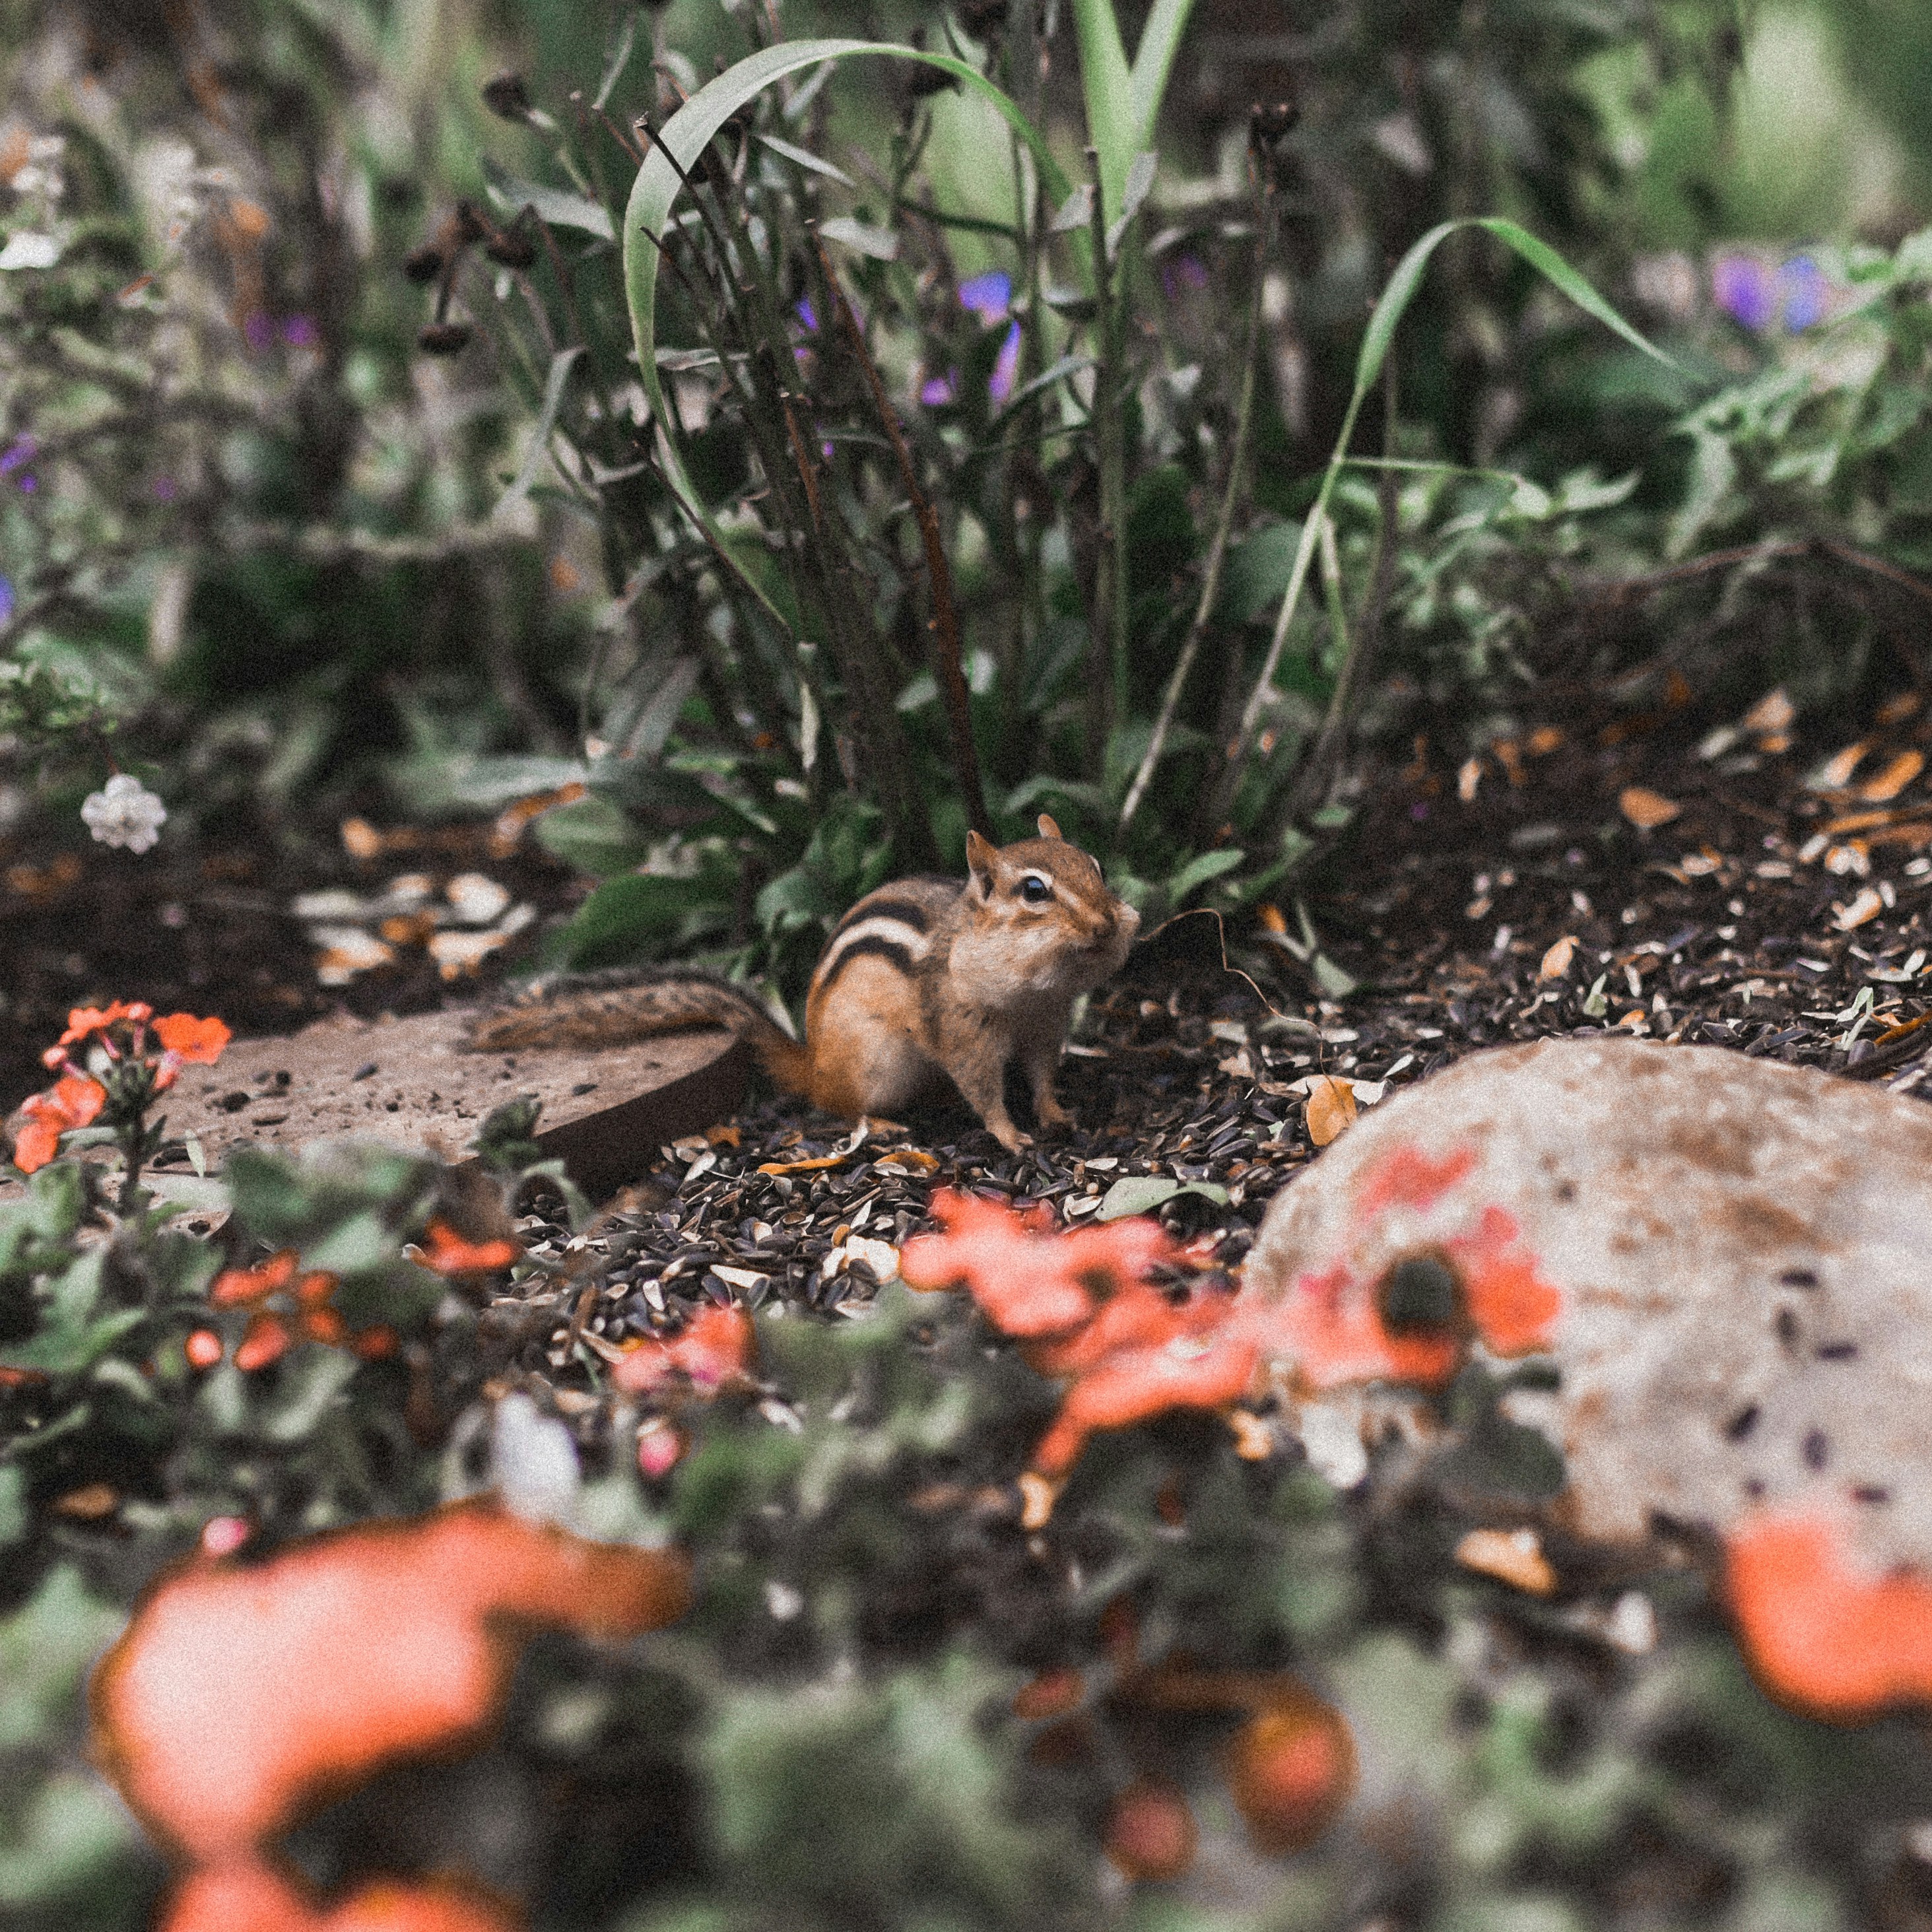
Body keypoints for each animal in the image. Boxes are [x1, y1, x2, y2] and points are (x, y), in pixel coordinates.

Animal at [469, 815, 1139, 1152]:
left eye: (1096, 867)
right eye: (1034, 891)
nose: (1108, 924)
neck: (1033, 993)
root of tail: (812, 1061)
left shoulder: (1046, 1025)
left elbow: (1043, 1074)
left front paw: (1054, 1113)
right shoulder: (962, 1030)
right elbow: (983, 1088)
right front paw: (1009, 1134)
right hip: (874, 1062)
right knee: (839, 1106)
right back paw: (883, 1124)